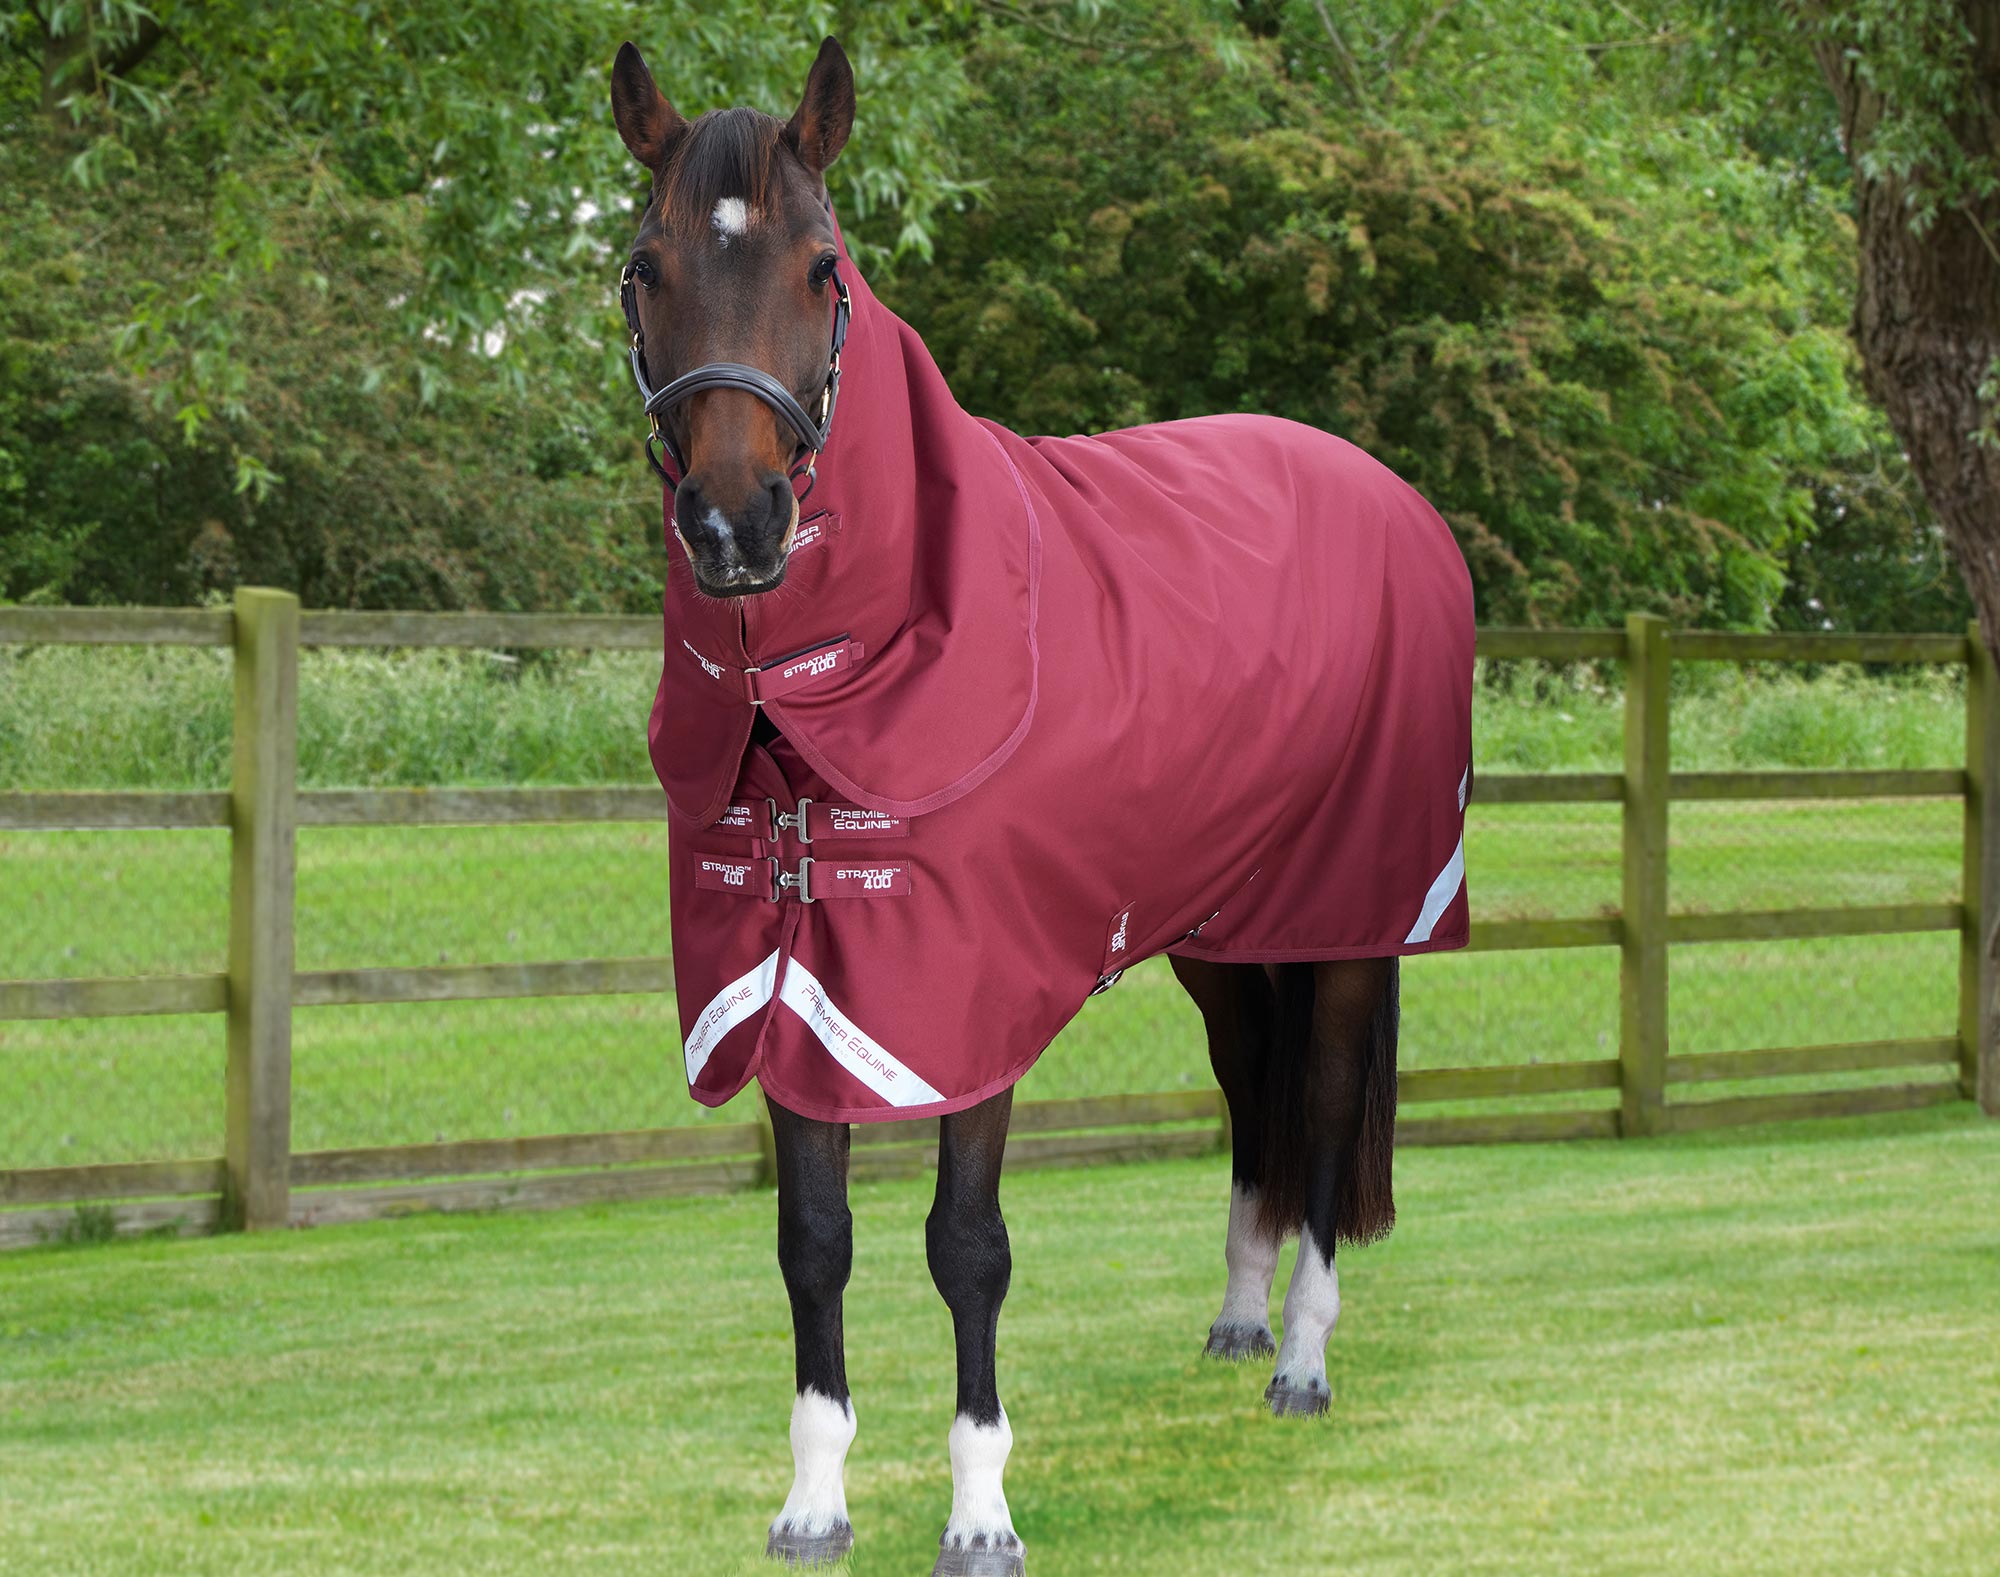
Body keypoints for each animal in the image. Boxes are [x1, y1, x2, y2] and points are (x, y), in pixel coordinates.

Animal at [609, 36, 1473, 1575]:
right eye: (646, 266)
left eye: (823, 267)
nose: (734, 520)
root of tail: (1387, 493)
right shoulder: (789, 977)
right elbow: (812, 1238)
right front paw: (814, 1501)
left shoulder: (964, 1000)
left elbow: (967, 1243)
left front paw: (979, 1512)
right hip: (1217, 930)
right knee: (1250, 1093)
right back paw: (1239, 1309)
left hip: (1350, 916)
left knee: (1316, 1109)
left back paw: (1301, 1356)